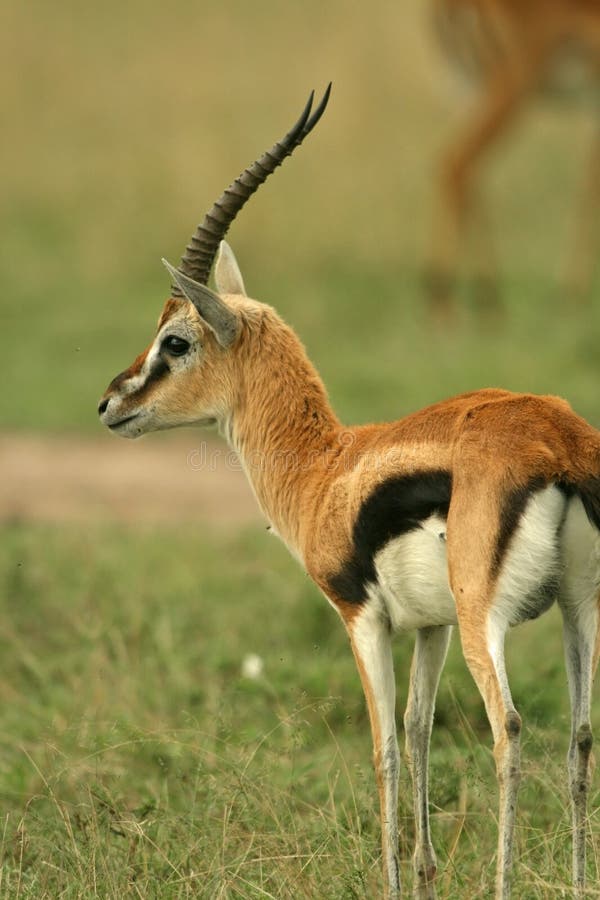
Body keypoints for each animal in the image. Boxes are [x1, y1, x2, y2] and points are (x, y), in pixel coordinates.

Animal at [98, 87, 600, 898]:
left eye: (176, 340)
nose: (110, 404)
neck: (326, 467)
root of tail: (559, 442)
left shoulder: (362, 617)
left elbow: (384, 747)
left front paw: (391, 881)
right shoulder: (428, 626)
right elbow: (419, 731)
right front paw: (425, 875)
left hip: (484, 620)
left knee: (510, 728)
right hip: (578, 603)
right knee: (582, 732)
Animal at [427, 0, 600, 315]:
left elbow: (589, 186)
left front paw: (570, 296)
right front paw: (572, 300)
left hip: (468, 91)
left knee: (464, 172)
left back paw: (490, 305)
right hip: (509, 91)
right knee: (458, 164)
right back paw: (445, 308)